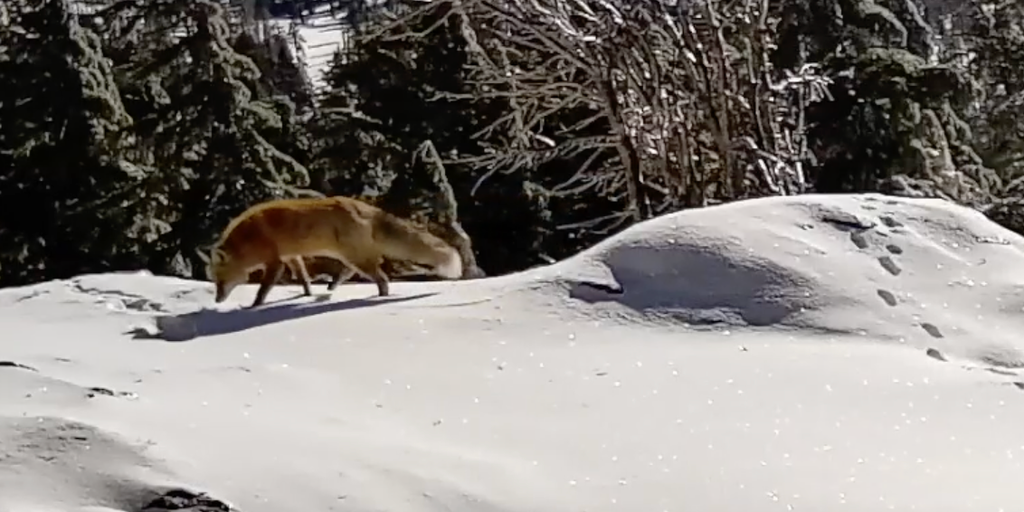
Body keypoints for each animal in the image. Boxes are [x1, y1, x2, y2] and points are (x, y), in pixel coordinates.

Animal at [204, 196, 464, 308]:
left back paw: (380, 297)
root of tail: (367, 207)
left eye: (220, 282)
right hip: (349, 255)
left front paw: (254, 307)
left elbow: (262, 290)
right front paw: (307, 294)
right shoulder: (291, 256)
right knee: (352, 271)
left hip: (354, 256)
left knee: (381, 277)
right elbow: (303, 278)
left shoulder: (275, 262)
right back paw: (331, 287)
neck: (248, 239)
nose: (217, 300)